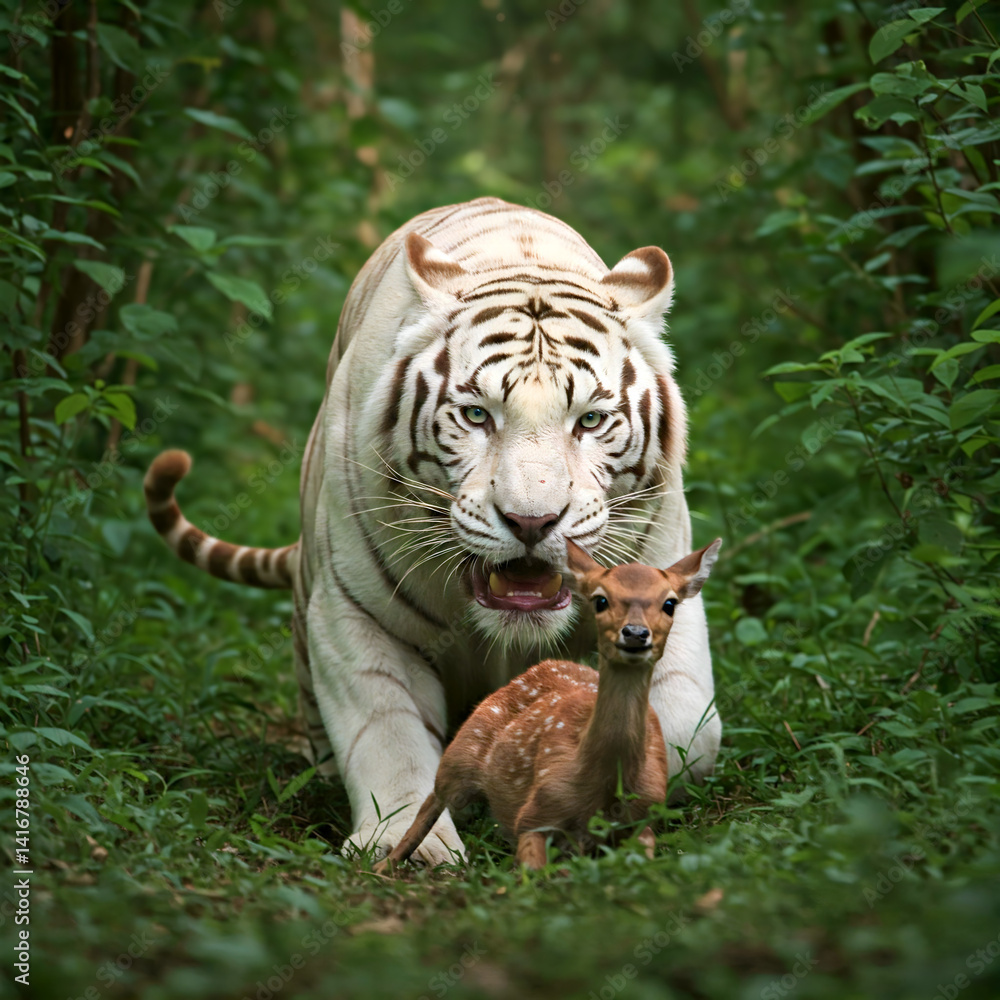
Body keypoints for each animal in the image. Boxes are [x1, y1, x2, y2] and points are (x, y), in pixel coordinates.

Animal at [376, 536, 722, 871]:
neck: (604, 790)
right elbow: (535, 873)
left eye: (669, 603)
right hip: (462, 751)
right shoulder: (535, 815)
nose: (635, 633)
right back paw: (383, 866)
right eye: (601, 600)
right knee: (430, 802)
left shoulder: (642, 820)